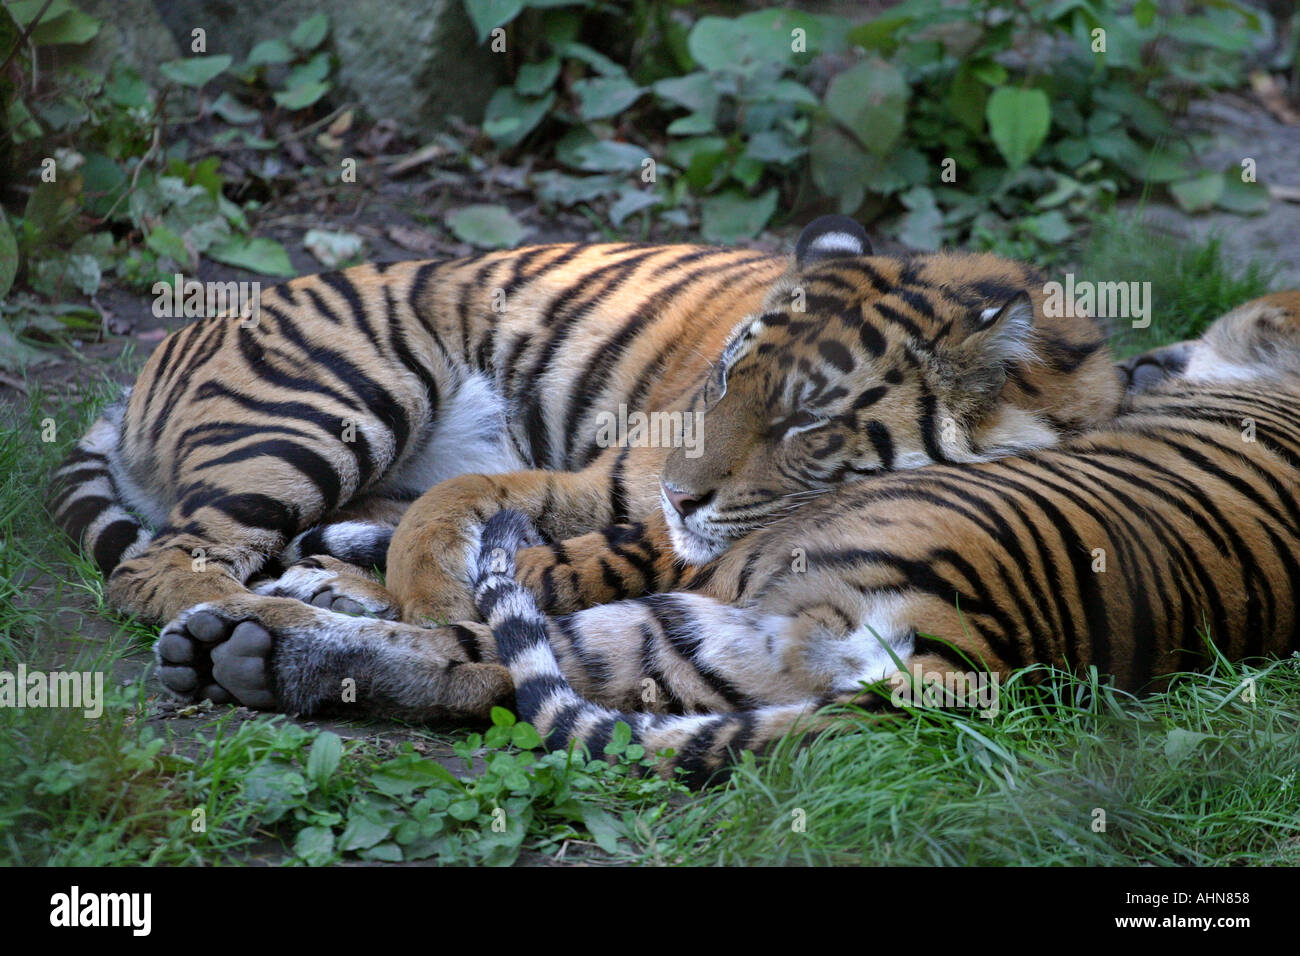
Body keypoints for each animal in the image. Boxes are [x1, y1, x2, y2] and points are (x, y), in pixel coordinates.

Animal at [83, 215, 1122, 714]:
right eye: (724, 379)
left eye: (806, 422)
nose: (680, 495)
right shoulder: (598, 480)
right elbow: (450, 506)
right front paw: (434, 604)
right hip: (332, 402)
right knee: (160, 566)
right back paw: (251, 617)